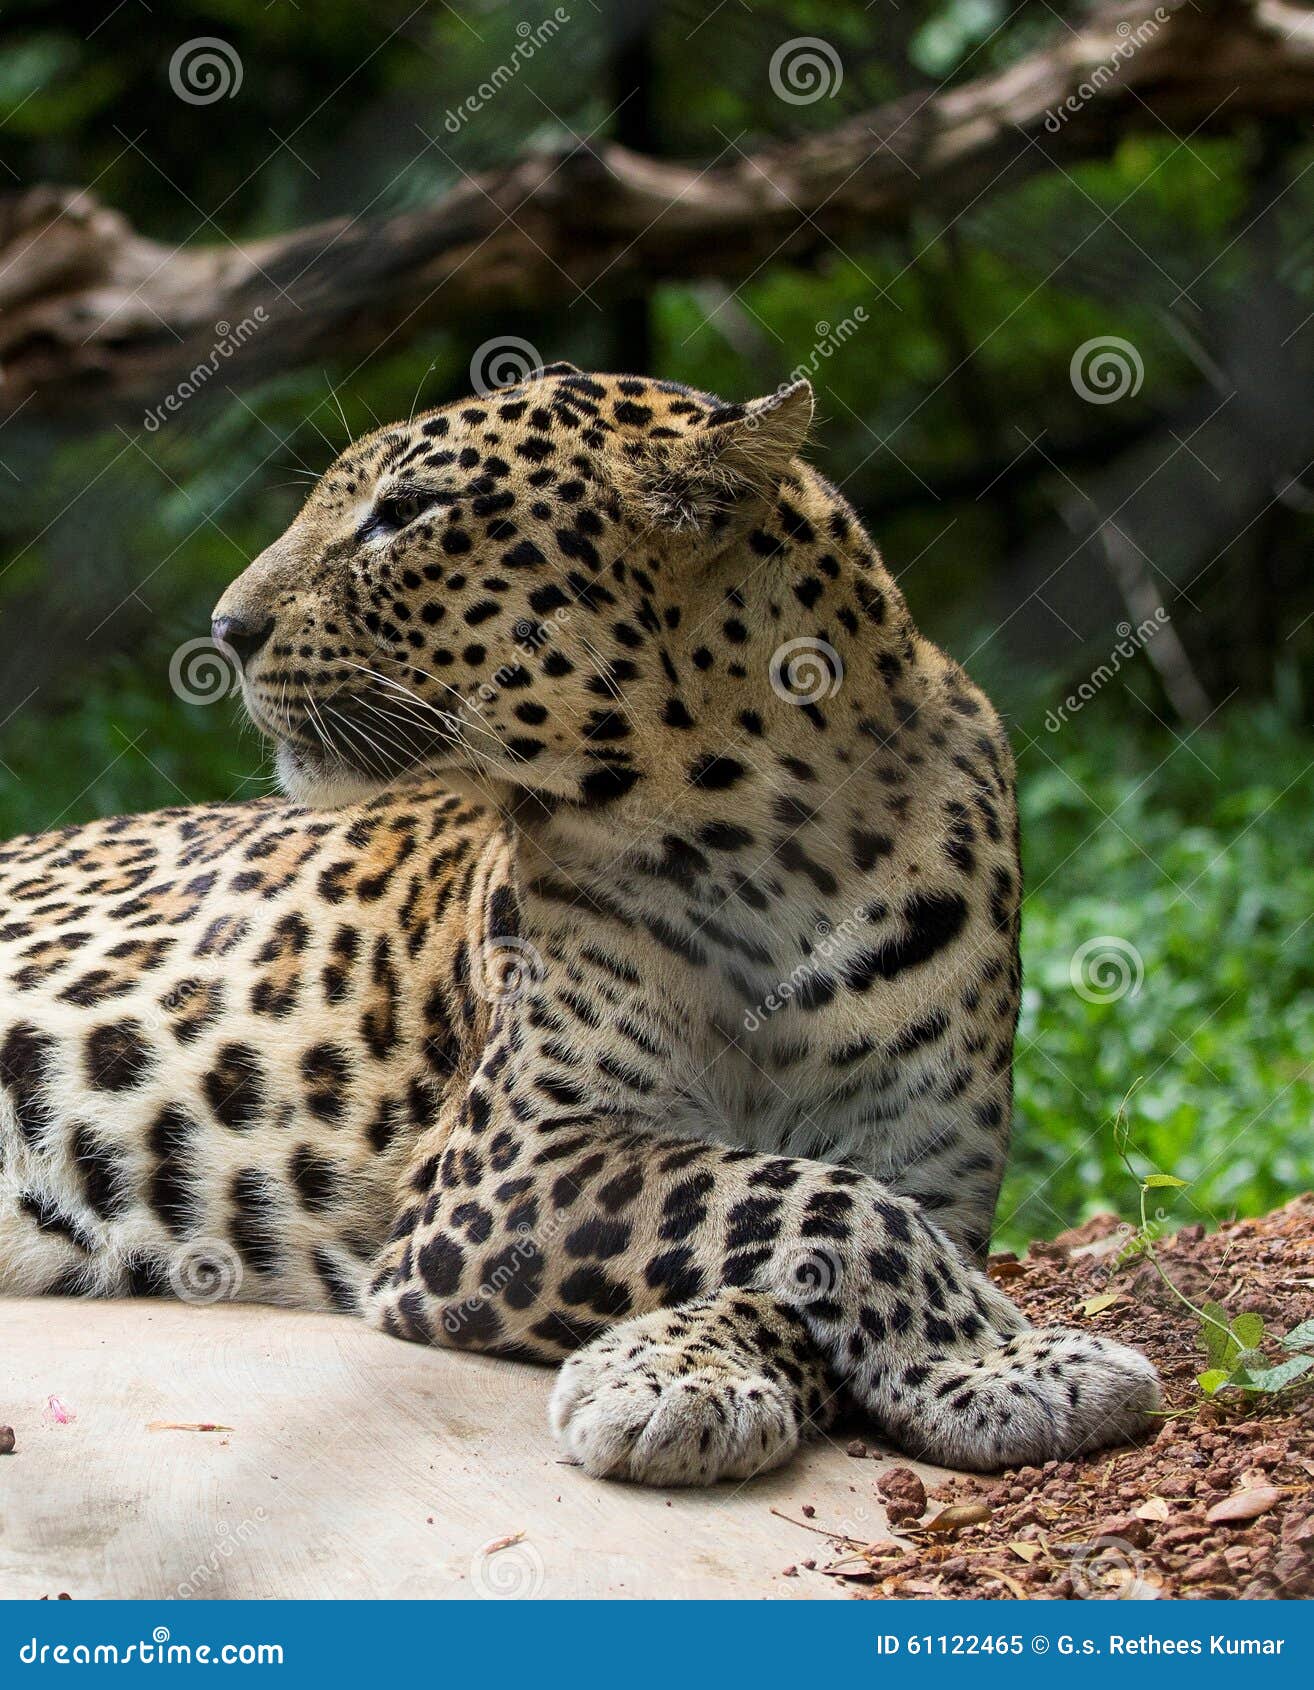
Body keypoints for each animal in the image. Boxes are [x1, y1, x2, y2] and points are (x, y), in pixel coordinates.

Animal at [0, 363, 1159, 1486]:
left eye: (403, 513)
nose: (225, 632)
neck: (766, 851)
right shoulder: (505, 1167)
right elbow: (808, 1201)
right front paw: (999, 1360)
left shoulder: (929, 1168)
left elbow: (825, 1235)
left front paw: (691, 1370)